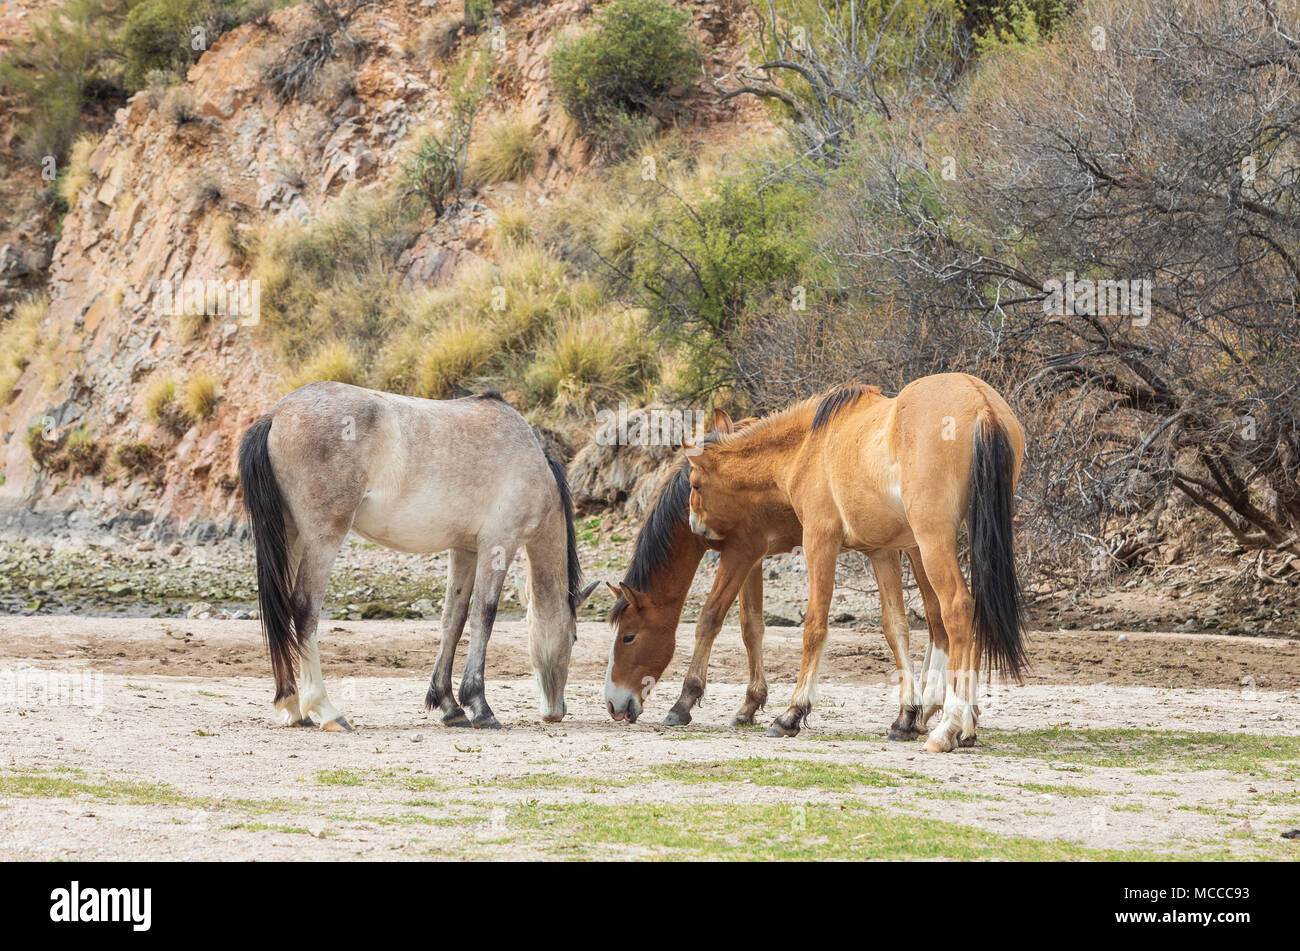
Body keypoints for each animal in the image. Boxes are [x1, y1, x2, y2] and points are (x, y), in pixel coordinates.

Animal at [237, 382, 598, 732]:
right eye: (575, 637)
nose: (556, 712)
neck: (529, 460)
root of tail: (275, 415)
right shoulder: (499, 544)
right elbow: (484, 615)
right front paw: (480, 707)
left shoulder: (465, 550)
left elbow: (453, 619)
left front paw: (450, 706)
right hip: (322, 538)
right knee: (303, 608)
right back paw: (327, 711)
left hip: (291, 534)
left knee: (281, 608)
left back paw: (292, 707)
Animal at [604, 410, 952, 739]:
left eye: (628, 636)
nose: (612, 705)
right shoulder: (752, 559)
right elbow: (751, 627)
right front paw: (750, 704)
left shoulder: (740, 553)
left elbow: (710, 619)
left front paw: (684, 701)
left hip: (917, 548)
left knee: (937, 617)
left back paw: (930, 705)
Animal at [684, 373, 1026, 752]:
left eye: (695, 484)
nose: (695, 526)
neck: (809, 445)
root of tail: (981, 403)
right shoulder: (882, 552)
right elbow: (896, 627)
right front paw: (906, 715)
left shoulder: (820, 541)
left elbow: (814, 626)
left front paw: (792, 713)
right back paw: (962, 724)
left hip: (933, 542)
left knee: (957, 609)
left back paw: (947, 727)